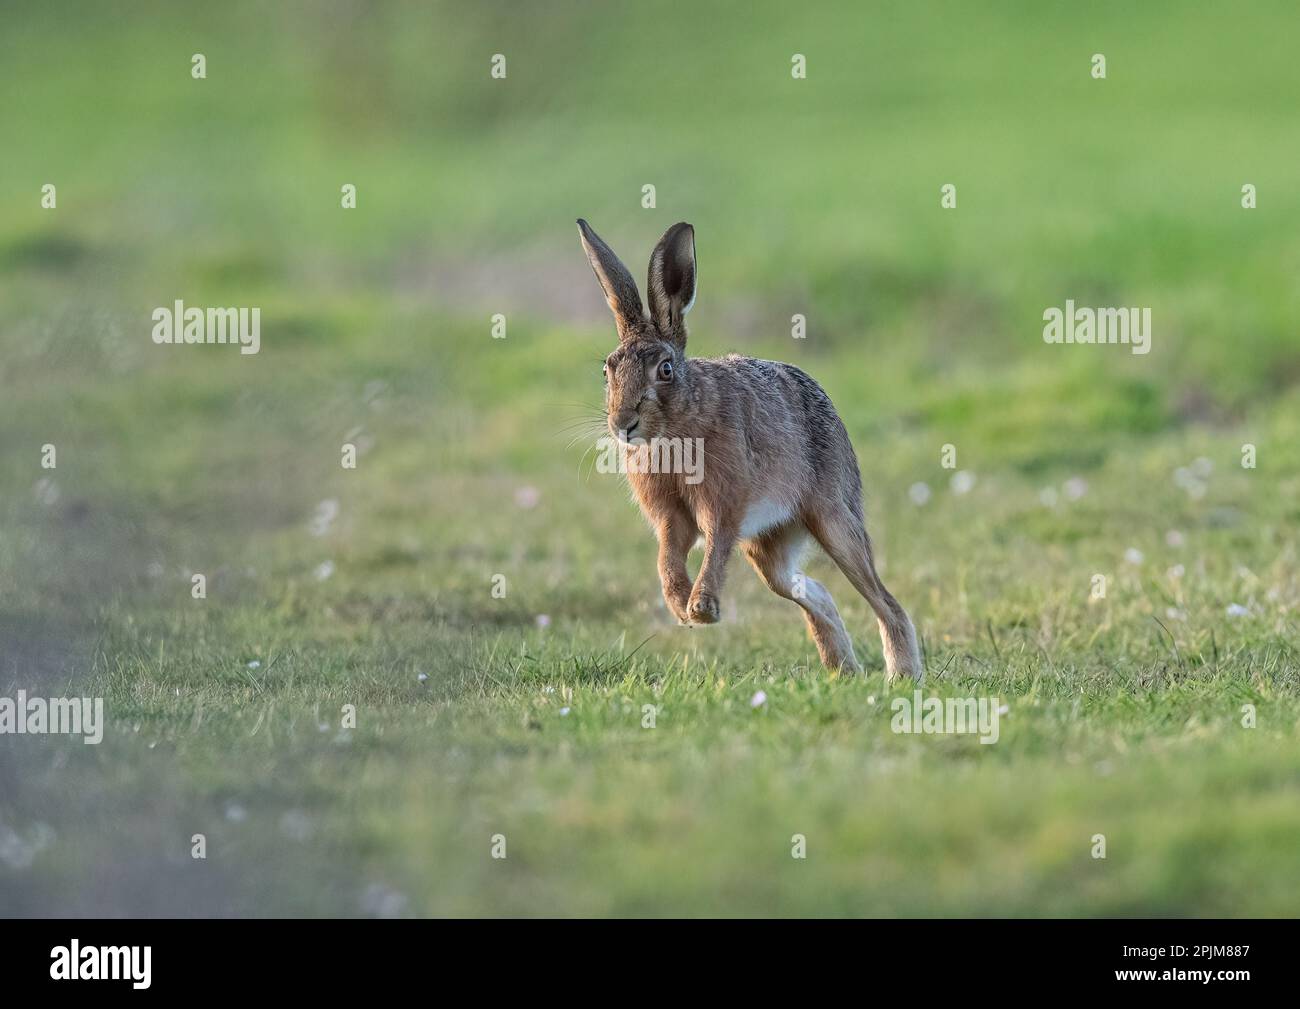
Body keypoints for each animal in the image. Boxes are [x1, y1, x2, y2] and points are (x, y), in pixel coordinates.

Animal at [577, 218, 923, 683]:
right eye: (607, 370)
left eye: (665, 369)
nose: (623, 424)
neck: (680, 422)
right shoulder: (670, 516)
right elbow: (667, 558)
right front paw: (680, 606)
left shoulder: (725, 502)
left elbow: (716, 547)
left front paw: (701, 608)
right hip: (769, 548)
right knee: (810, 589)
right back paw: (842, 671)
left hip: (833, 518)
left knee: (884, 600)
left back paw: (901, 673)